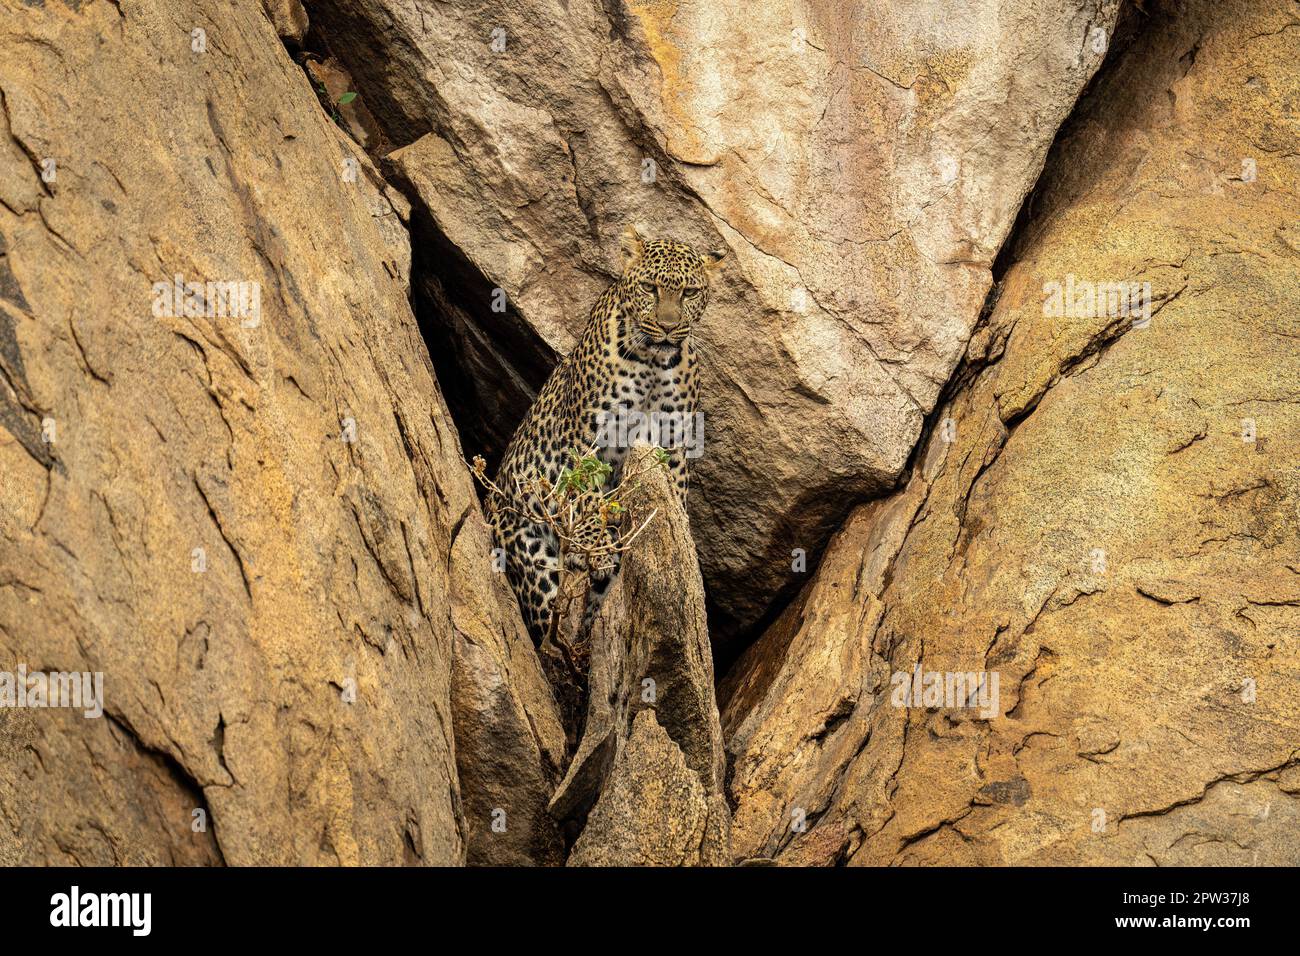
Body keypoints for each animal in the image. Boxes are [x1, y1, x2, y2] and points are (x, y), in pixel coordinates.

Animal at [487, 226, 726, 642]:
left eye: (690, 293)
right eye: (649, 287)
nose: (667, 326)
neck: (653, 360)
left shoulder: (674, 442)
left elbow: (674, 495)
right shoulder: (589, 431)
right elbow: (584, 491)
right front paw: (592, 545)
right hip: (530, 557)